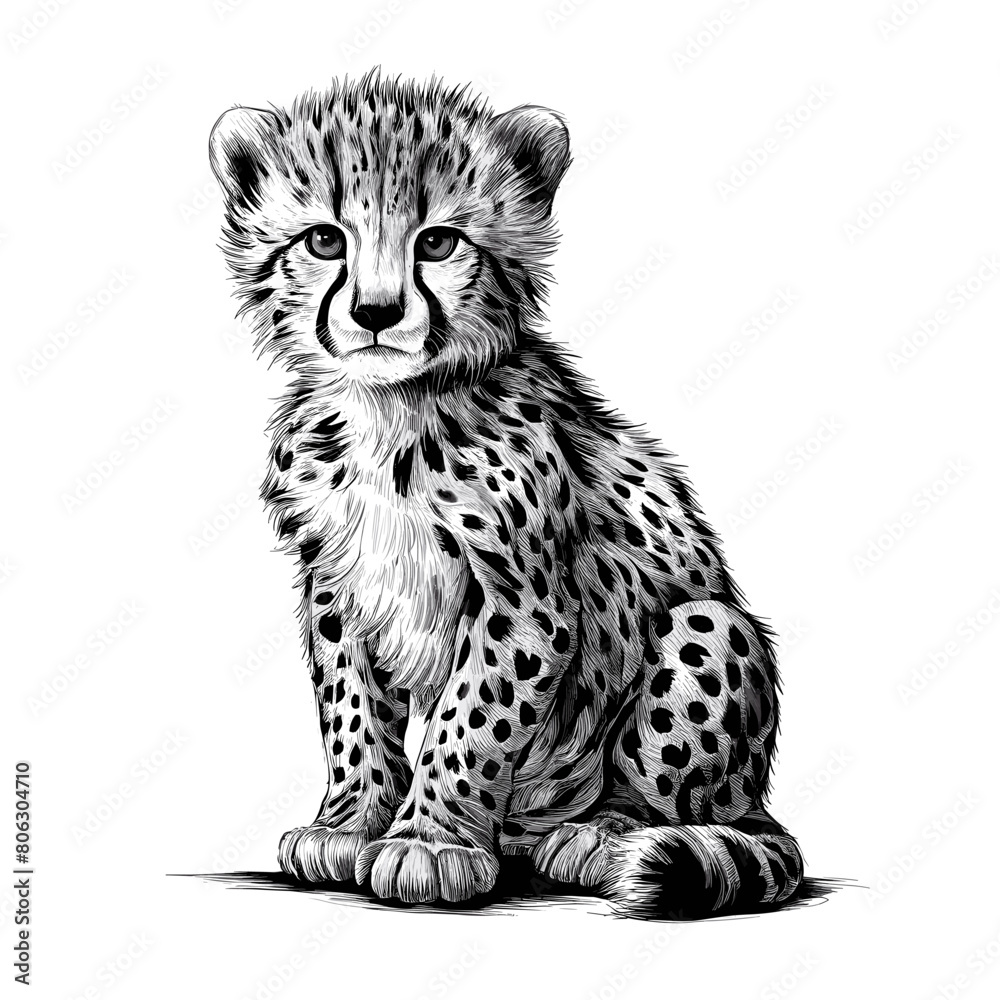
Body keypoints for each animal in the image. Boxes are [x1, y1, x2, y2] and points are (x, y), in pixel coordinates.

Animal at [209, 70, 804, 918]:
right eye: (325, 241)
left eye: (437, 242)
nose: (376, 313)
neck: (389, 406)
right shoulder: (335, 582)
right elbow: (351, 709)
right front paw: (350, 825)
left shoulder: (524, 600)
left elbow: (472, 719)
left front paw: (429, 843)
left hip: (710, 629)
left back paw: (601, 836)